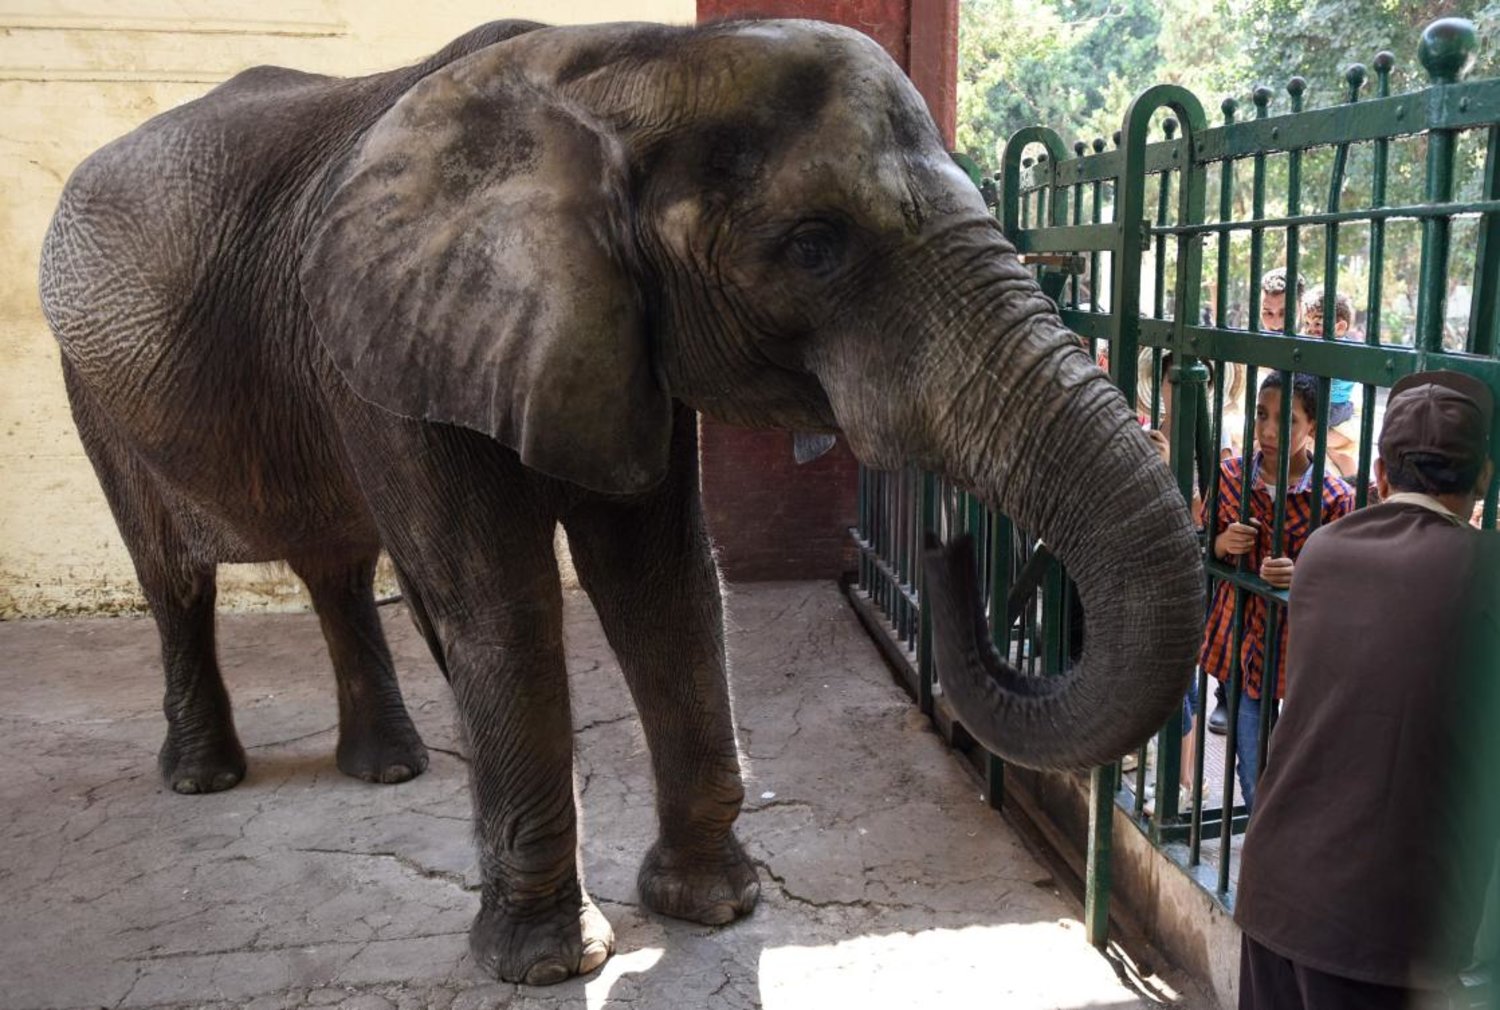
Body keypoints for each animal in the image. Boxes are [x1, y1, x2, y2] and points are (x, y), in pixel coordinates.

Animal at [38, 18, 1204, 985]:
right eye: (815, 245)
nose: (943, 537)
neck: (613, 65)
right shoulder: (392, 342)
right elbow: (500, 608)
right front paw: (552, 965)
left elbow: (666, 583)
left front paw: (715, 908)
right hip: (90, 382)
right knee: (174, 577)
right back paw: (206, 779)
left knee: (336, 566)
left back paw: (390, 770)